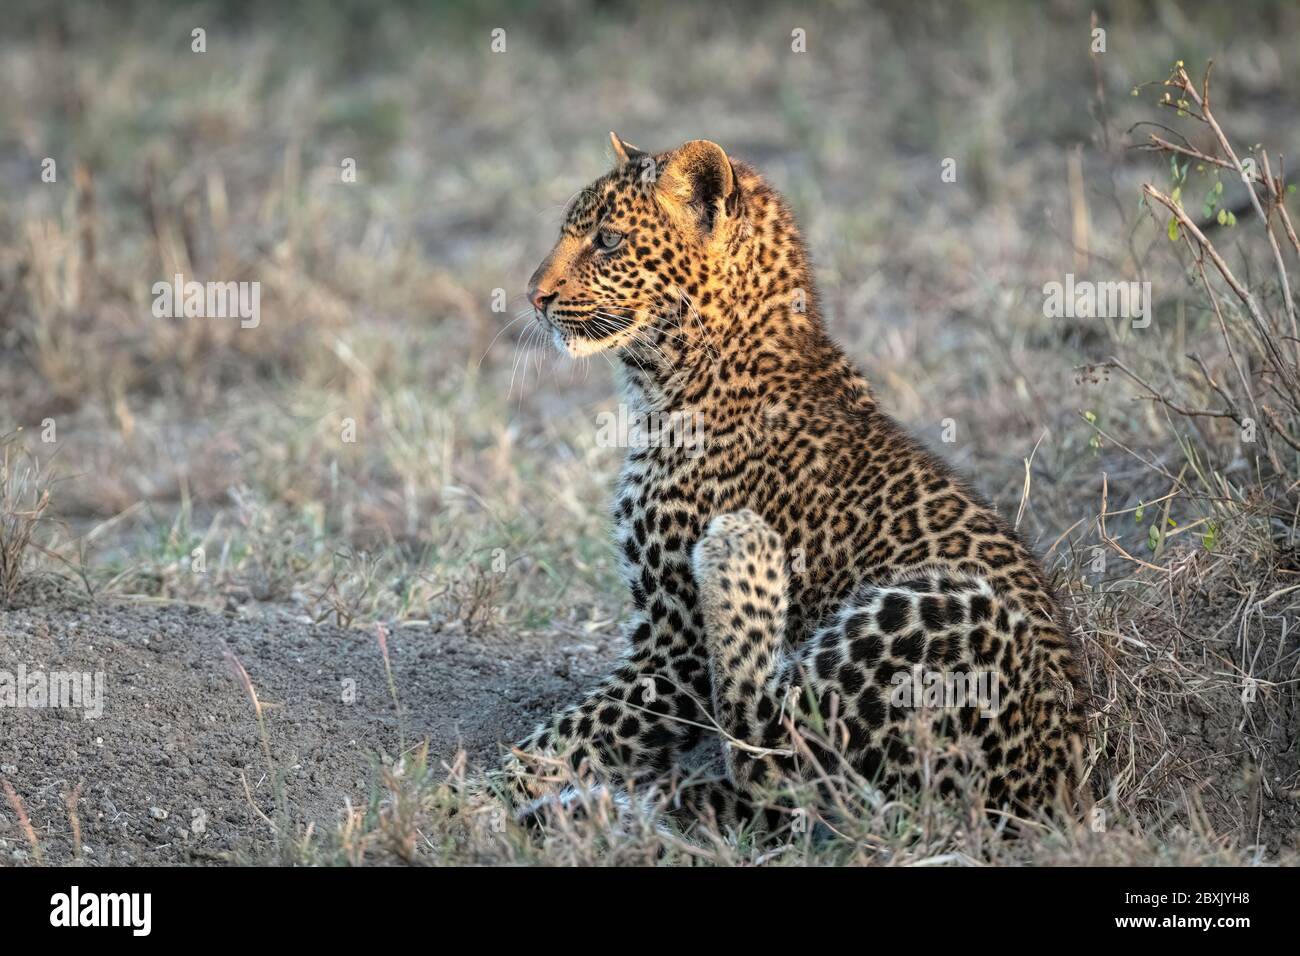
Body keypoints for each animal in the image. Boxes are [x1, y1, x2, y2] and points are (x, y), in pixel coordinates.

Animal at [505, 132, 1085, 829]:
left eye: (609, 240)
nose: (532, 295)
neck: (666, 382)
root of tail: (1054, 794)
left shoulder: (673, 643)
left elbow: (572, 729)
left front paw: (486, 790)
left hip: (951, 615)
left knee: (772, 751)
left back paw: (741, 558)